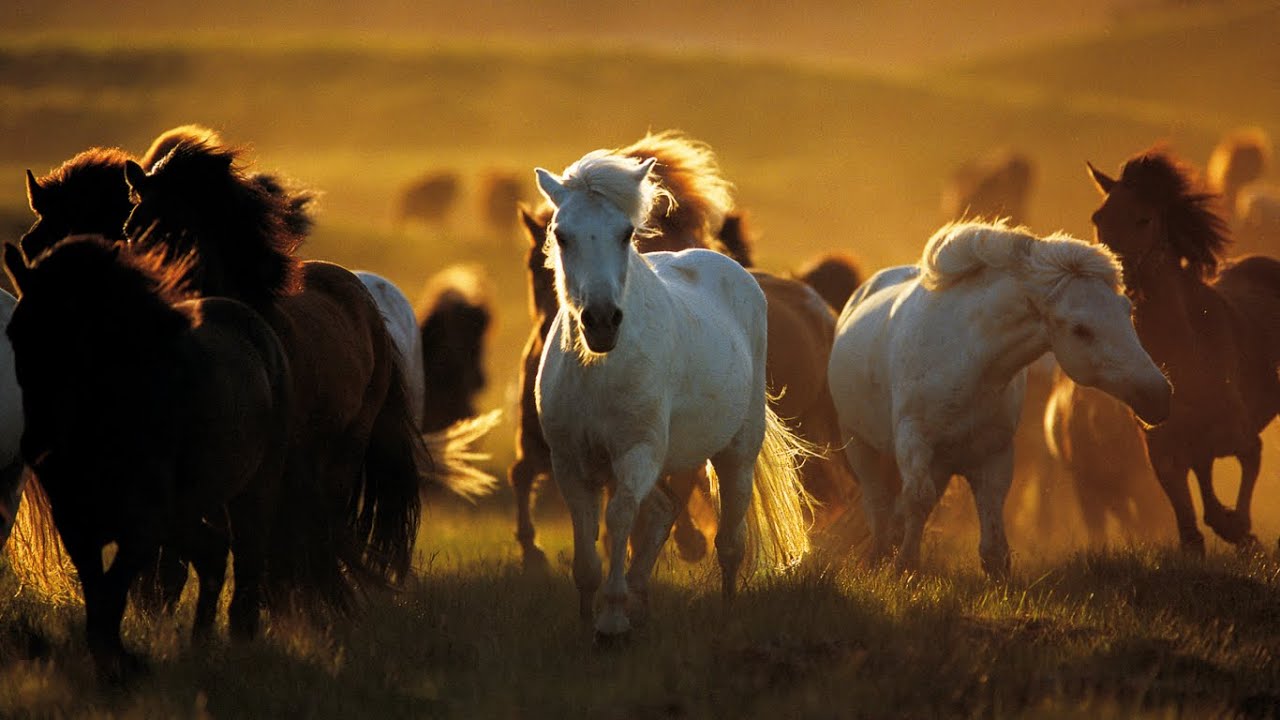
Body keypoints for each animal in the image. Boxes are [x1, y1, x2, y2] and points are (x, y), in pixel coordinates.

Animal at [3, 236, 291, 682]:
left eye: (82, 334)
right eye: (16, 333)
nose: (36, 444)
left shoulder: (143, 525)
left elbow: (112, 598)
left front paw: (123, 668)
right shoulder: (78, 525)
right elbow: (99, 601)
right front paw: (118, 666)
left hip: (251, 493)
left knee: (245, 566)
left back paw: (238, 645)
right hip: (185, 512)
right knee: (213, 553)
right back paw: (198, 644)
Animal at [534, 149, 813, 638]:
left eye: (626, 233)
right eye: (561, 235)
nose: (601, 321)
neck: (598, 372)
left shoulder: (636, 453)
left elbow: (620, 518)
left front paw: (612, 620)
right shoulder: (570, 461)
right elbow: (588, 542)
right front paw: (591, 615)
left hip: (736, 454)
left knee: (729, 542)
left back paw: (725, 610)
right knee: (664, 513)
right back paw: (641, 602)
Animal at [1087, 149, 1280, 552]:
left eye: (1143, 218)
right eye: (1099, 218)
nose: (1109, 276)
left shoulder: (1239, 433)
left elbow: (1248, 459)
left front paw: (1241, 529)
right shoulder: (1161, 448)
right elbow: (1191, 524)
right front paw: (1227, 527)